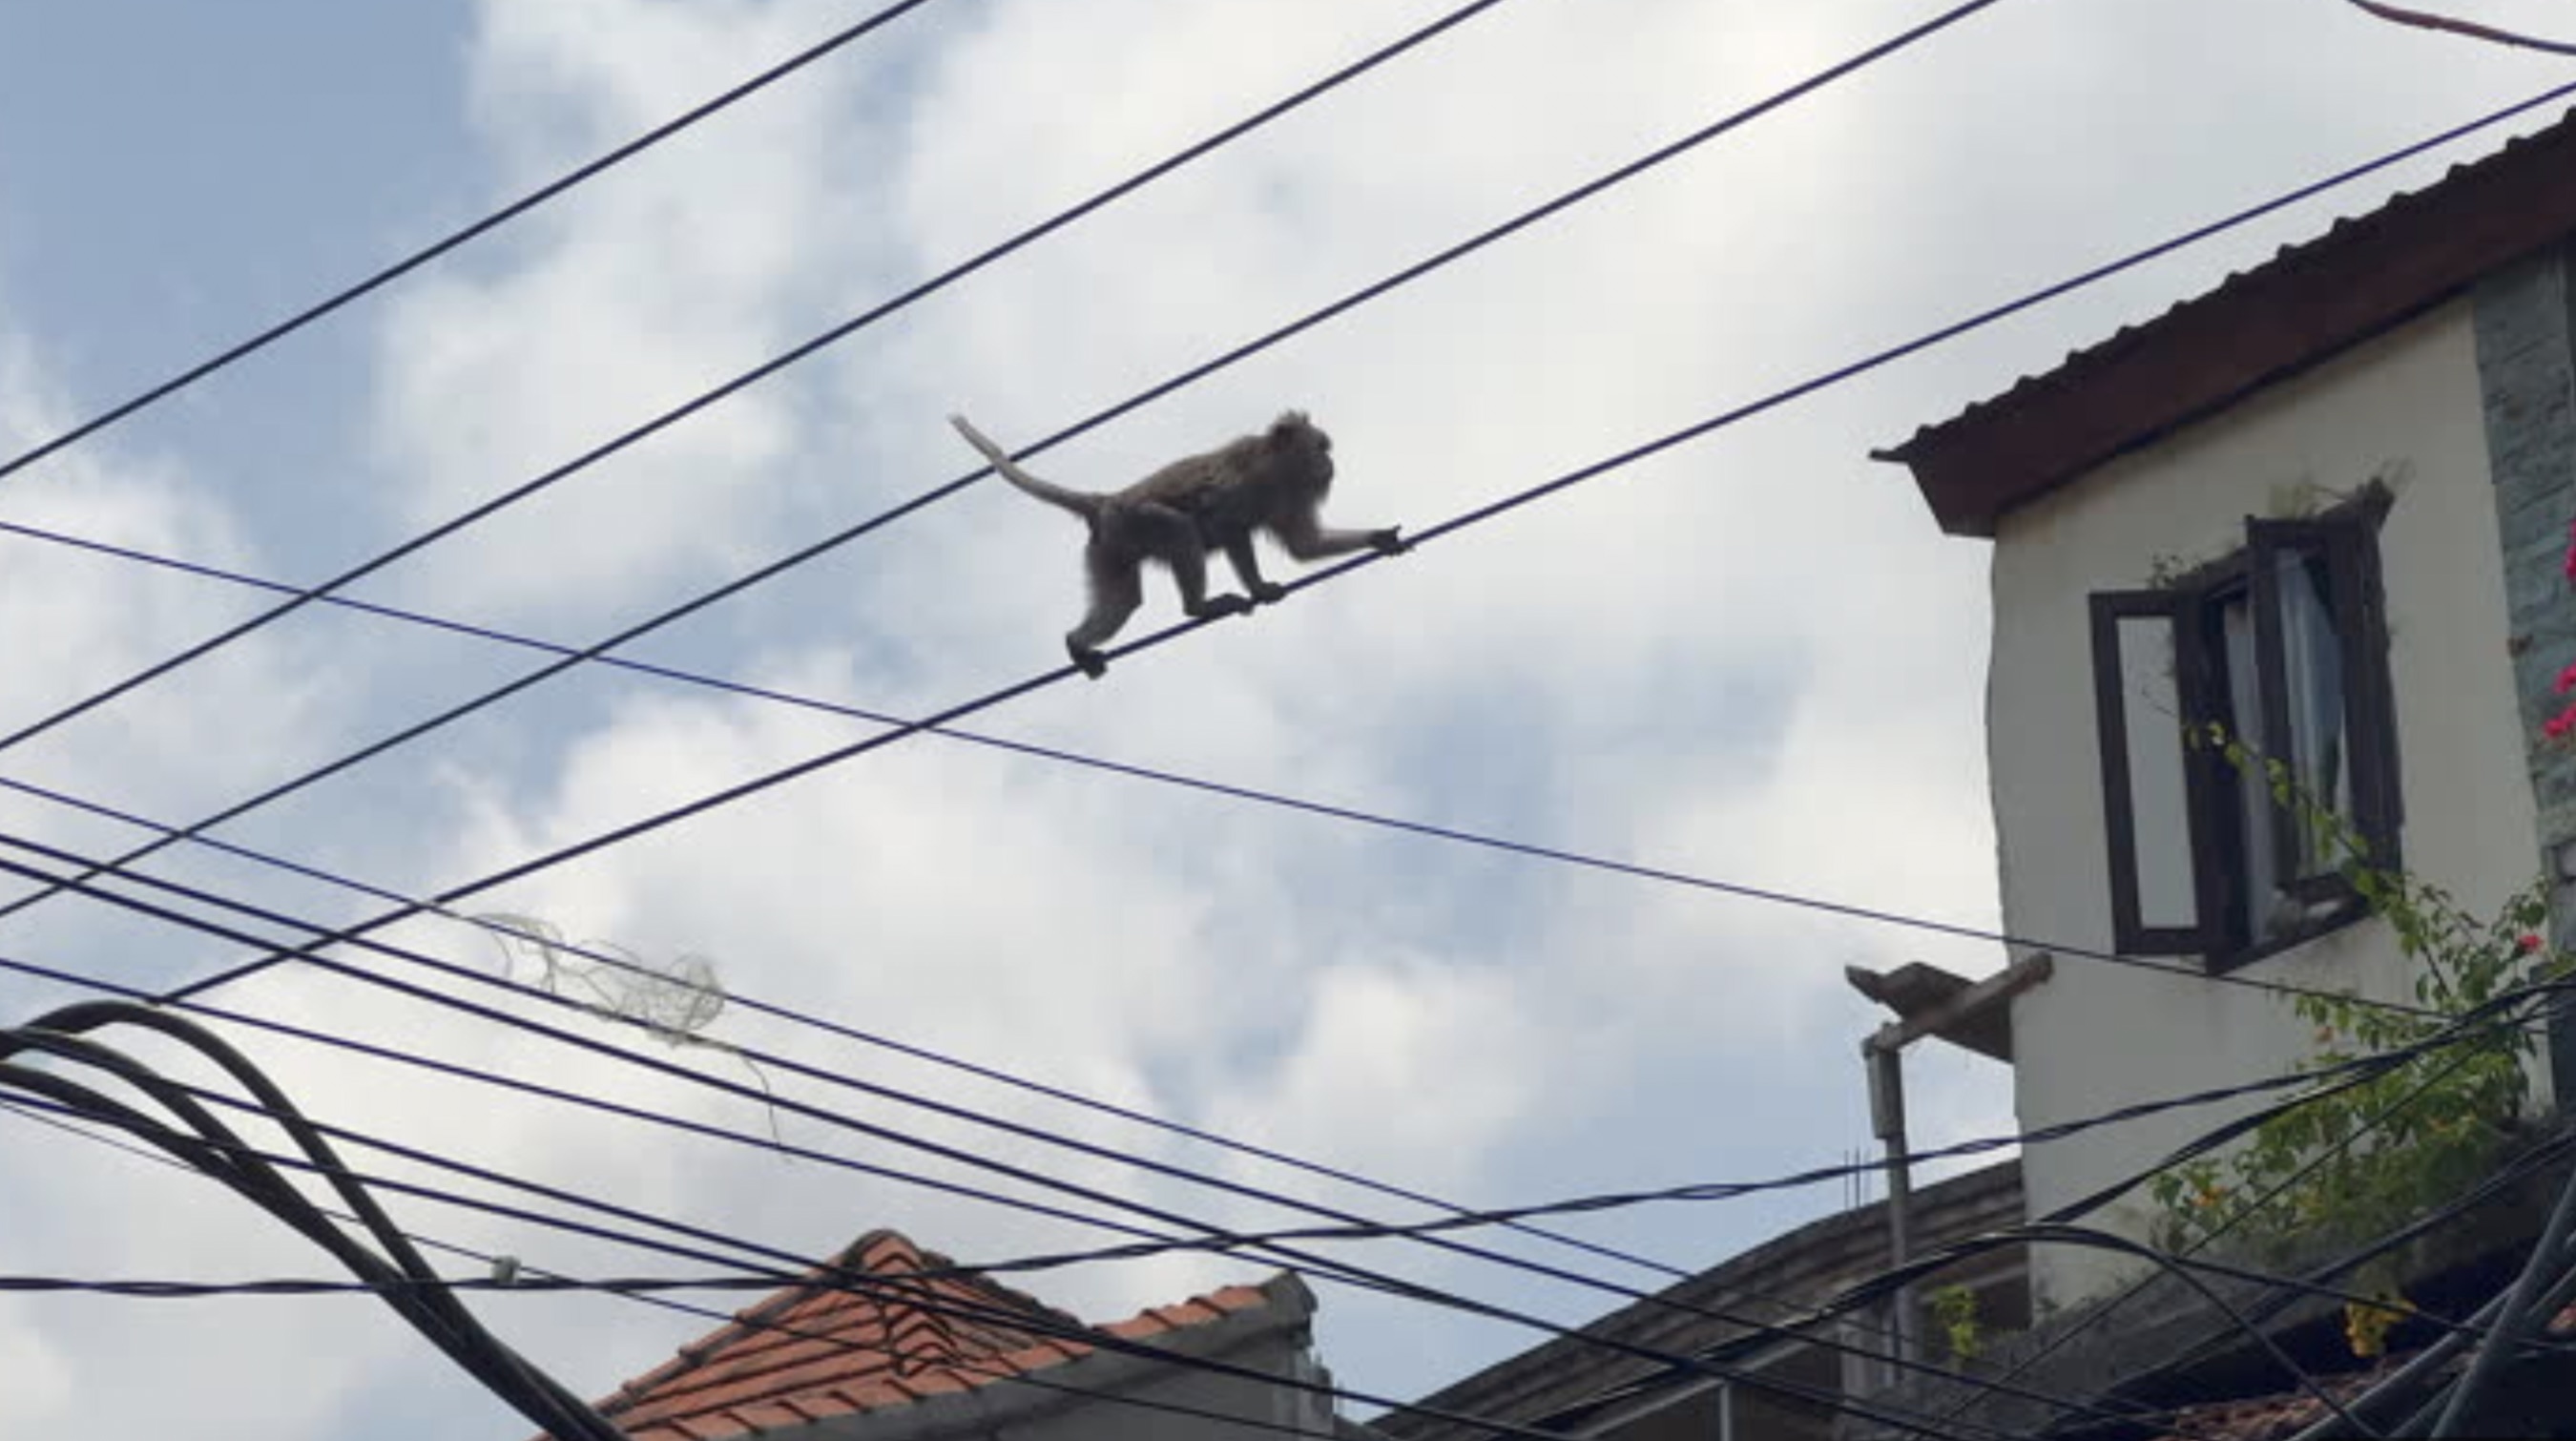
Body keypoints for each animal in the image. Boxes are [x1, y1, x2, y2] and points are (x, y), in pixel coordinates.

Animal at [949, 411, 1406, 678]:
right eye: (1321, 448)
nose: (1331, 464)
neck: (1275, 466)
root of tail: (1106, 500)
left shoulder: (1288, 497)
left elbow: (1303, 546)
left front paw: (1379, 539)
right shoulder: (1248, 482)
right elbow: (1231, 526)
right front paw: (1257, 587)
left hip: (1110, 546)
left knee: (1124, 600)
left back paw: (1077, 644)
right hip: (1134, 520)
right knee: (1181, 529)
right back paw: (1197, 608)